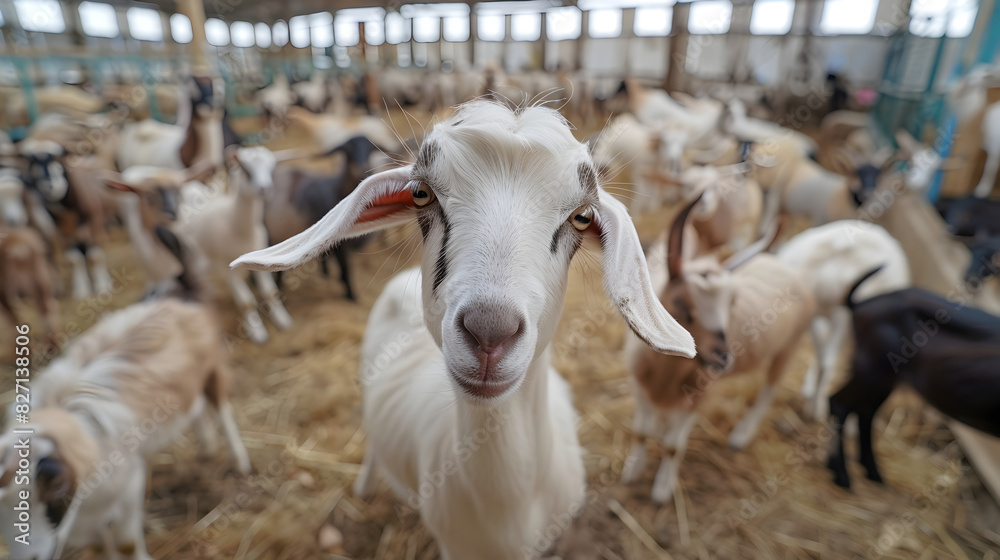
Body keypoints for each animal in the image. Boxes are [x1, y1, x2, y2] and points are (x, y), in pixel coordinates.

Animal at [622, 197, 815, 504]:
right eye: (680, 304)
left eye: (732, 302)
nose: (722, 359)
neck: (666, 374)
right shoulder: (640, 387)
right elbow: (641, 431)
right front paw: (632, 470)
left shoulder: (697, 397)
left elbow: (672, 445)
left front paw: (662, 490)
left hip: (790, 347)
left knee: (769, 391)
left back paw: (740, 436)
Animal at [776, 220, 910, 419]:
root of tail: (844, 248)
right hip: (841, 315)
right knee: (829, 359)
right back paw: (817, 409)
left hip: (822, 311)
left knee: (826, 358)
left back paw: (814, 407)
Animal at [828, 271, 1000, 489]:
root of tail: (861, 304)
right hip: (871, 369)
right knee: (839, 403)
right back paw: (842, 475)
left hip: (885, 378)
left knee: (864, 411)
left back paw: (872, 473)